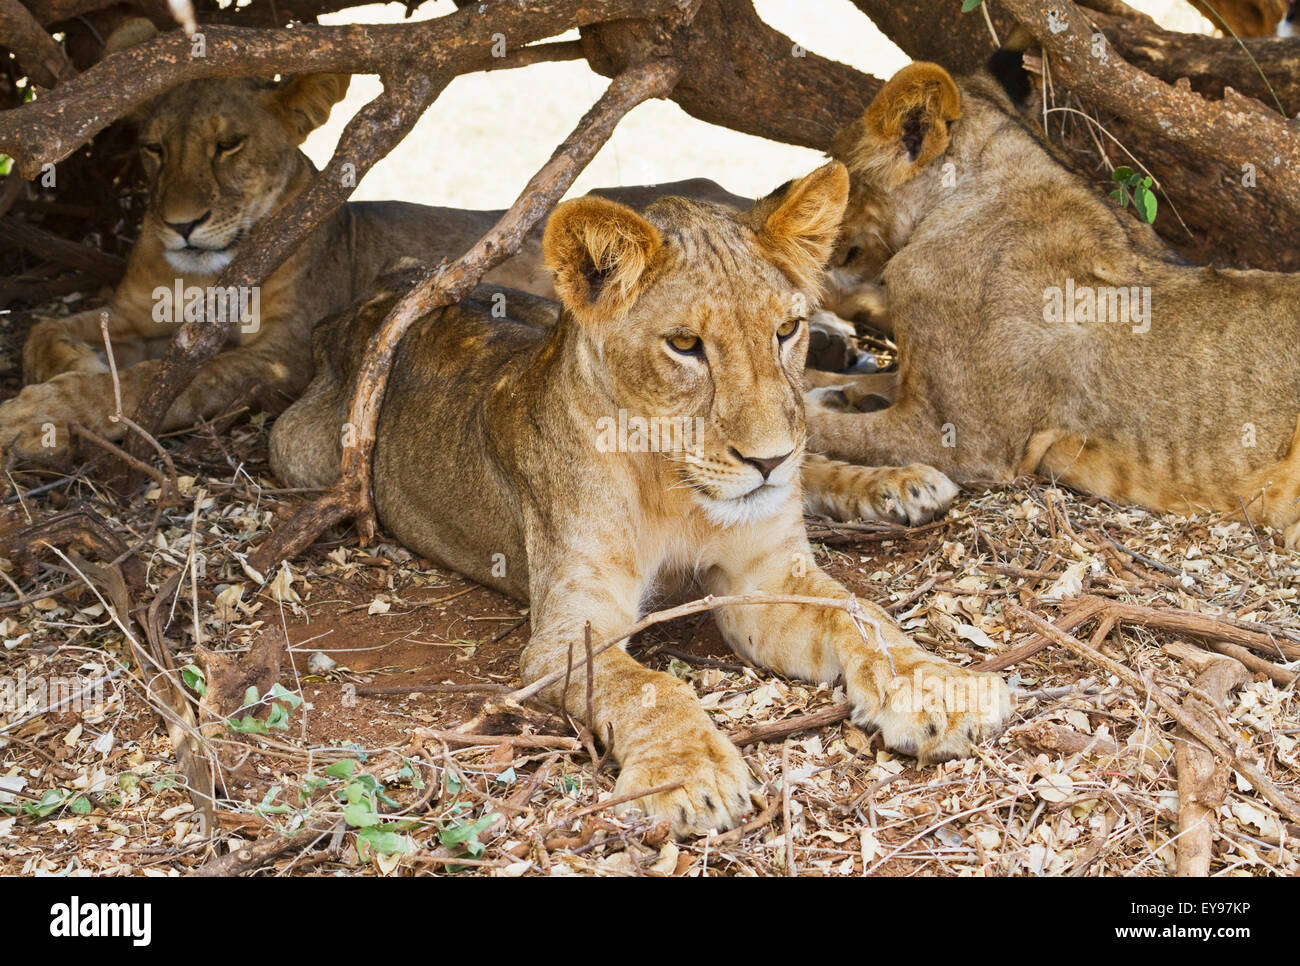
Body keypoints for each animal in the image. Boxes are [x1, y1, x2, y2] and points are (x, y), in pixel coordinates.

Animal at [268, 163, 1011, 836]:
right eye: (685, 346)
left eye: (785, 331)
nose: (767, 460)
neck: (675, 486)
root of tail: (373, 297)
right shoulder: (568, 632)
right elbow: (654, 686)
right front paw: (692, 776)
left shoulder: (766, 574)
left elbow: (863, 616)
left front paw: (939, 686)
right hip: (297, 448)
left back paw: (897, 479)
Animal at [805, 59, 1300, 546]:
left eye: (834, 166)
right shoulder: (915, 382)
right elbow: (847, 380)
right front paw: (833, 385)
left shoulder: (962, 442)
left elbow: (819, 427)